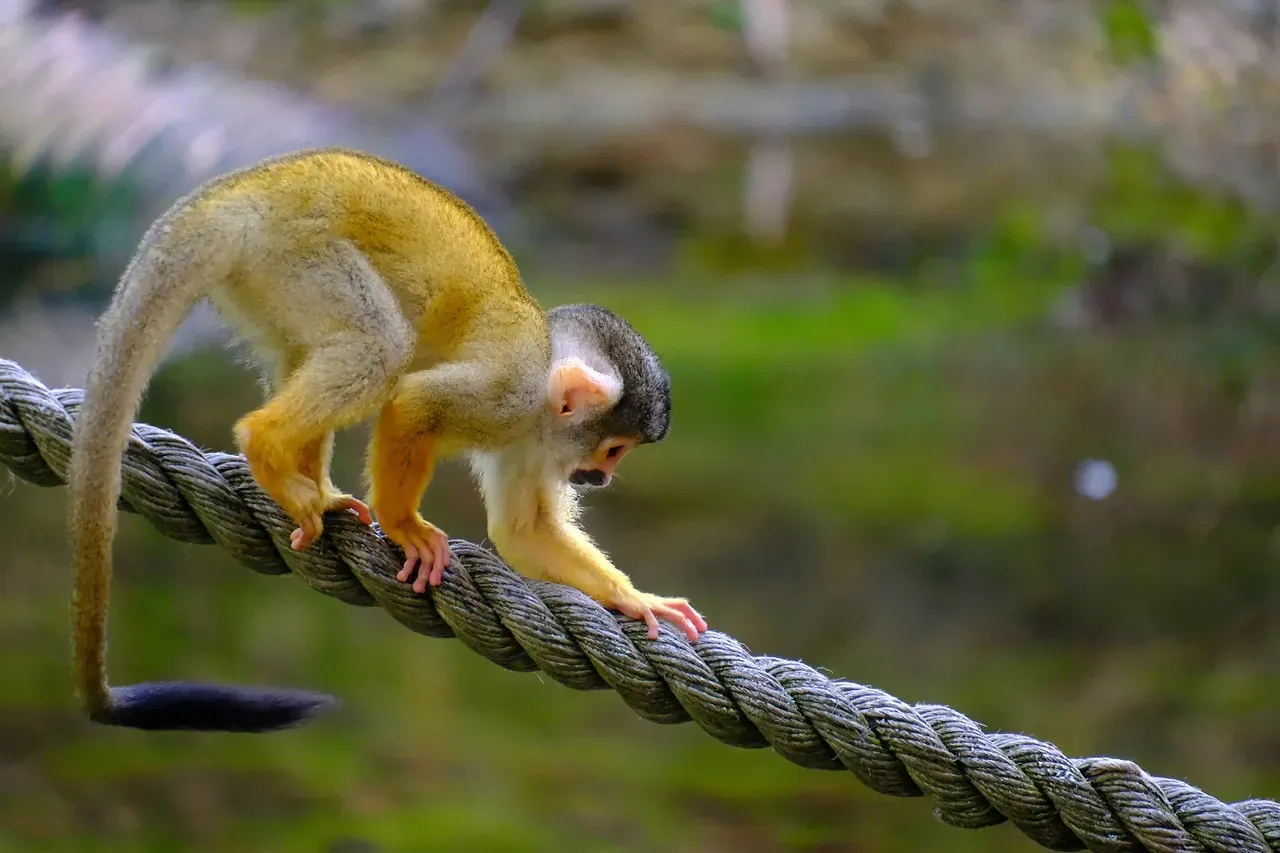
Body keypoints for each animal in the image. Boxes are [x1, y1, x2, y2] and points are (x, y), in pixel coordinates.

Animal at [66, 147, 708, 734]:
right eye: (614, 448)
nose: (601, 476)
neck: (542, 392)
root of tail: (236, 193)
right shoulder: (509, 394)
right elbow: (413, 404)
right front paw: (404, 528)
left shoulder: (530, 439)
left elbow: (522, 530)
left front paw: (634, 599)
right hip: (297, 253)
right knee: (380, 348)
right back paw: (266, 445)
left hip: (266, 277)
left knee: (308, 349)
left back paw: (312, 488)